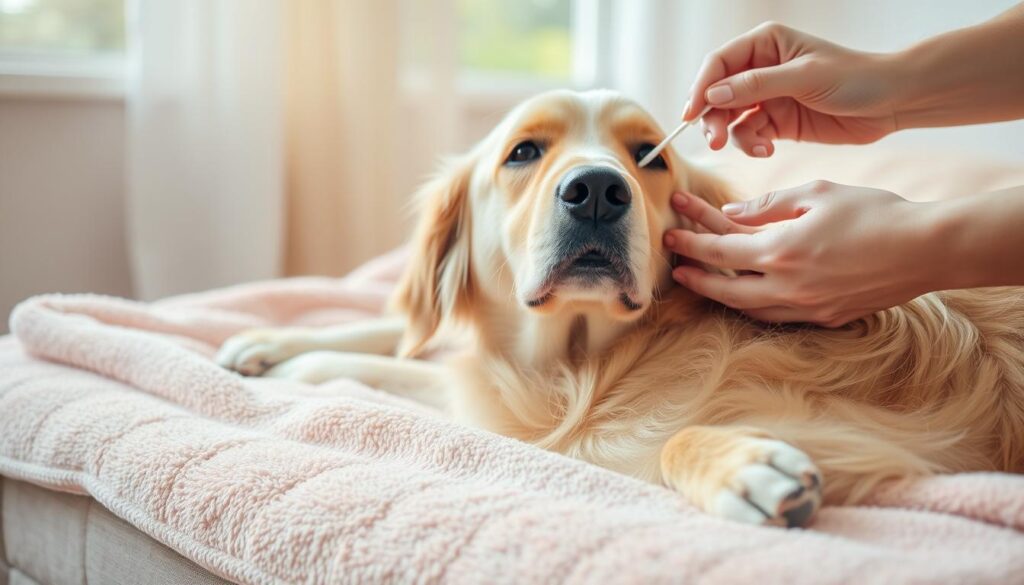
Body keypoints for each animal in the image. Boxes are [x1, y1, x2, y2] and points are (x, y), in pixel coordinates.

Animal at [220, 90, 1024, 524]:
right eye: (523, 152)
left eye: (650, 158)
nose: (599, 192)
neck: (581, 359)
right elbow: (413, 345)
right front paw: (275, 347)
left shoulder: (877, 440)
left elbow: (673, 437)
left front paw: (747, 468)